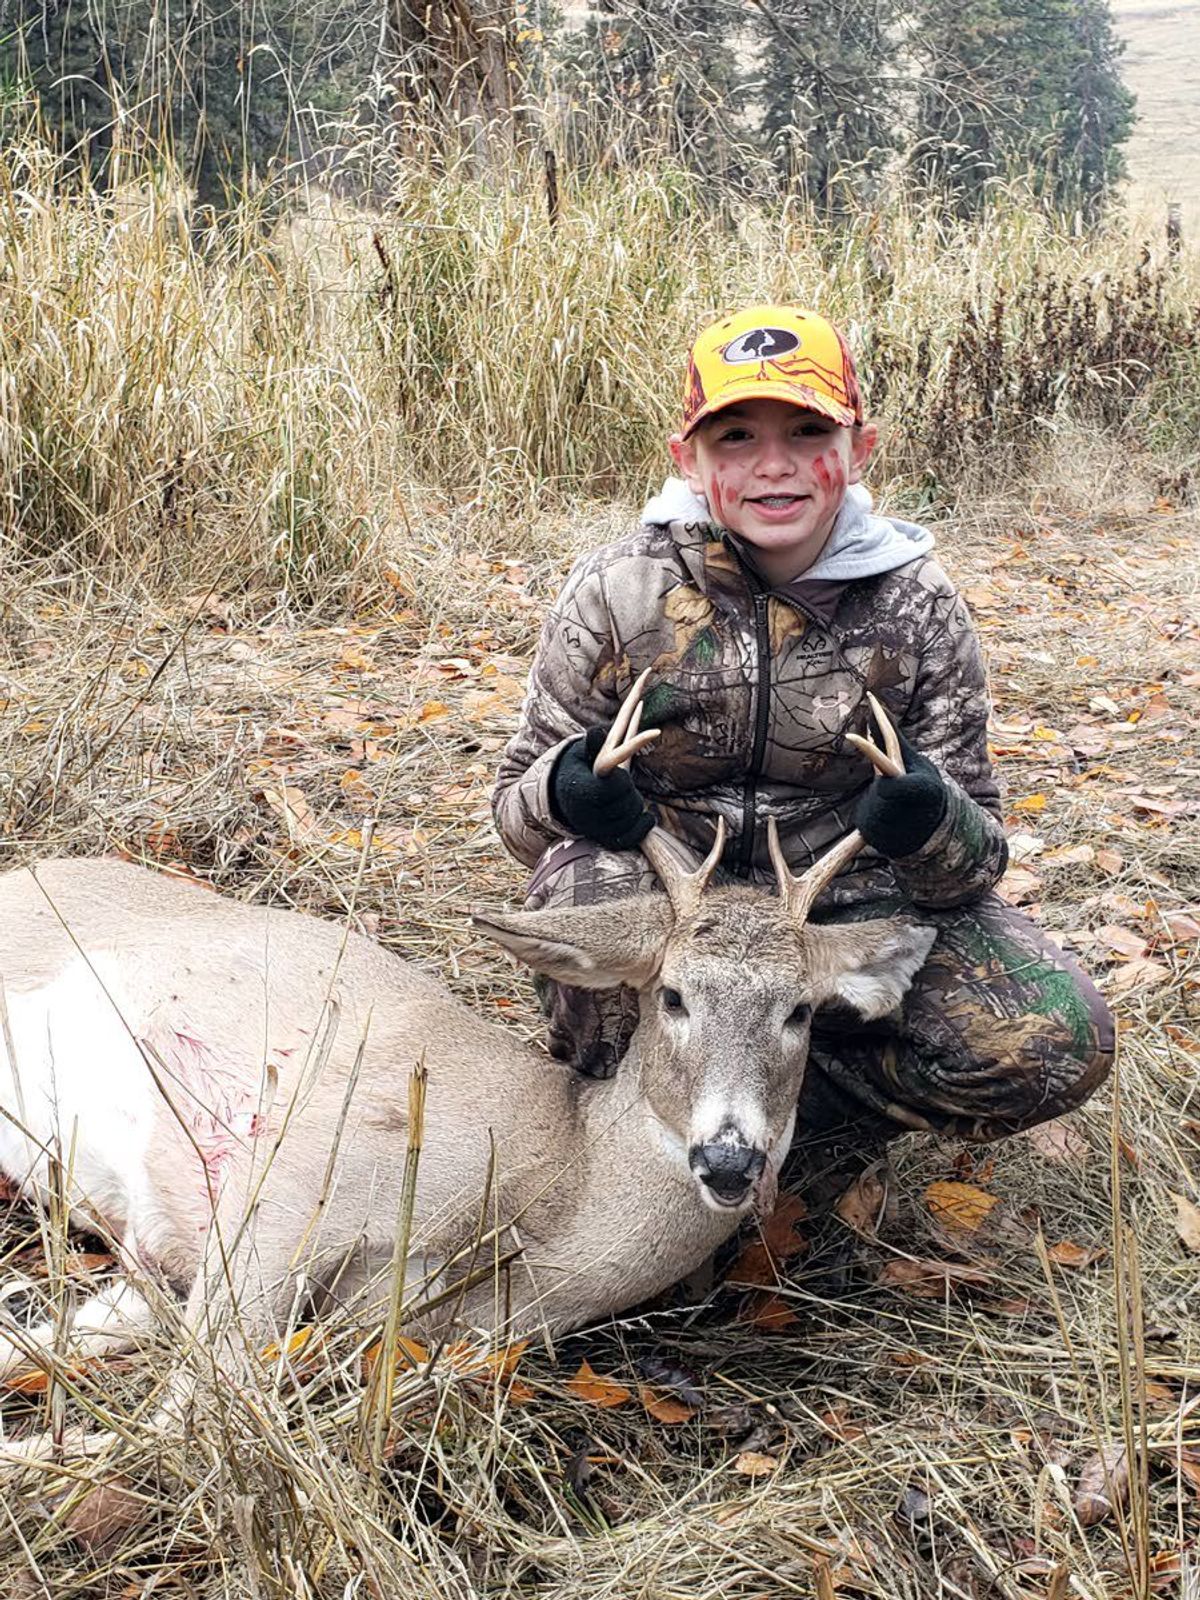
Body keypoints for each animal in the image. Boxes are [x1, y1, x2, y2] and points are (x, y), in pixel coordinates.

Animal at [0, 682, 936, 1432]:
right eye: (671, 995)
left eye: (801, 1010)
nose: (730, 1159)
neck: (551, 1189)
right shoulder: (290, 1181)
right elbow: (181, 1423)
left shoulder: (192, 1272)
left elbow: (58, 1343)